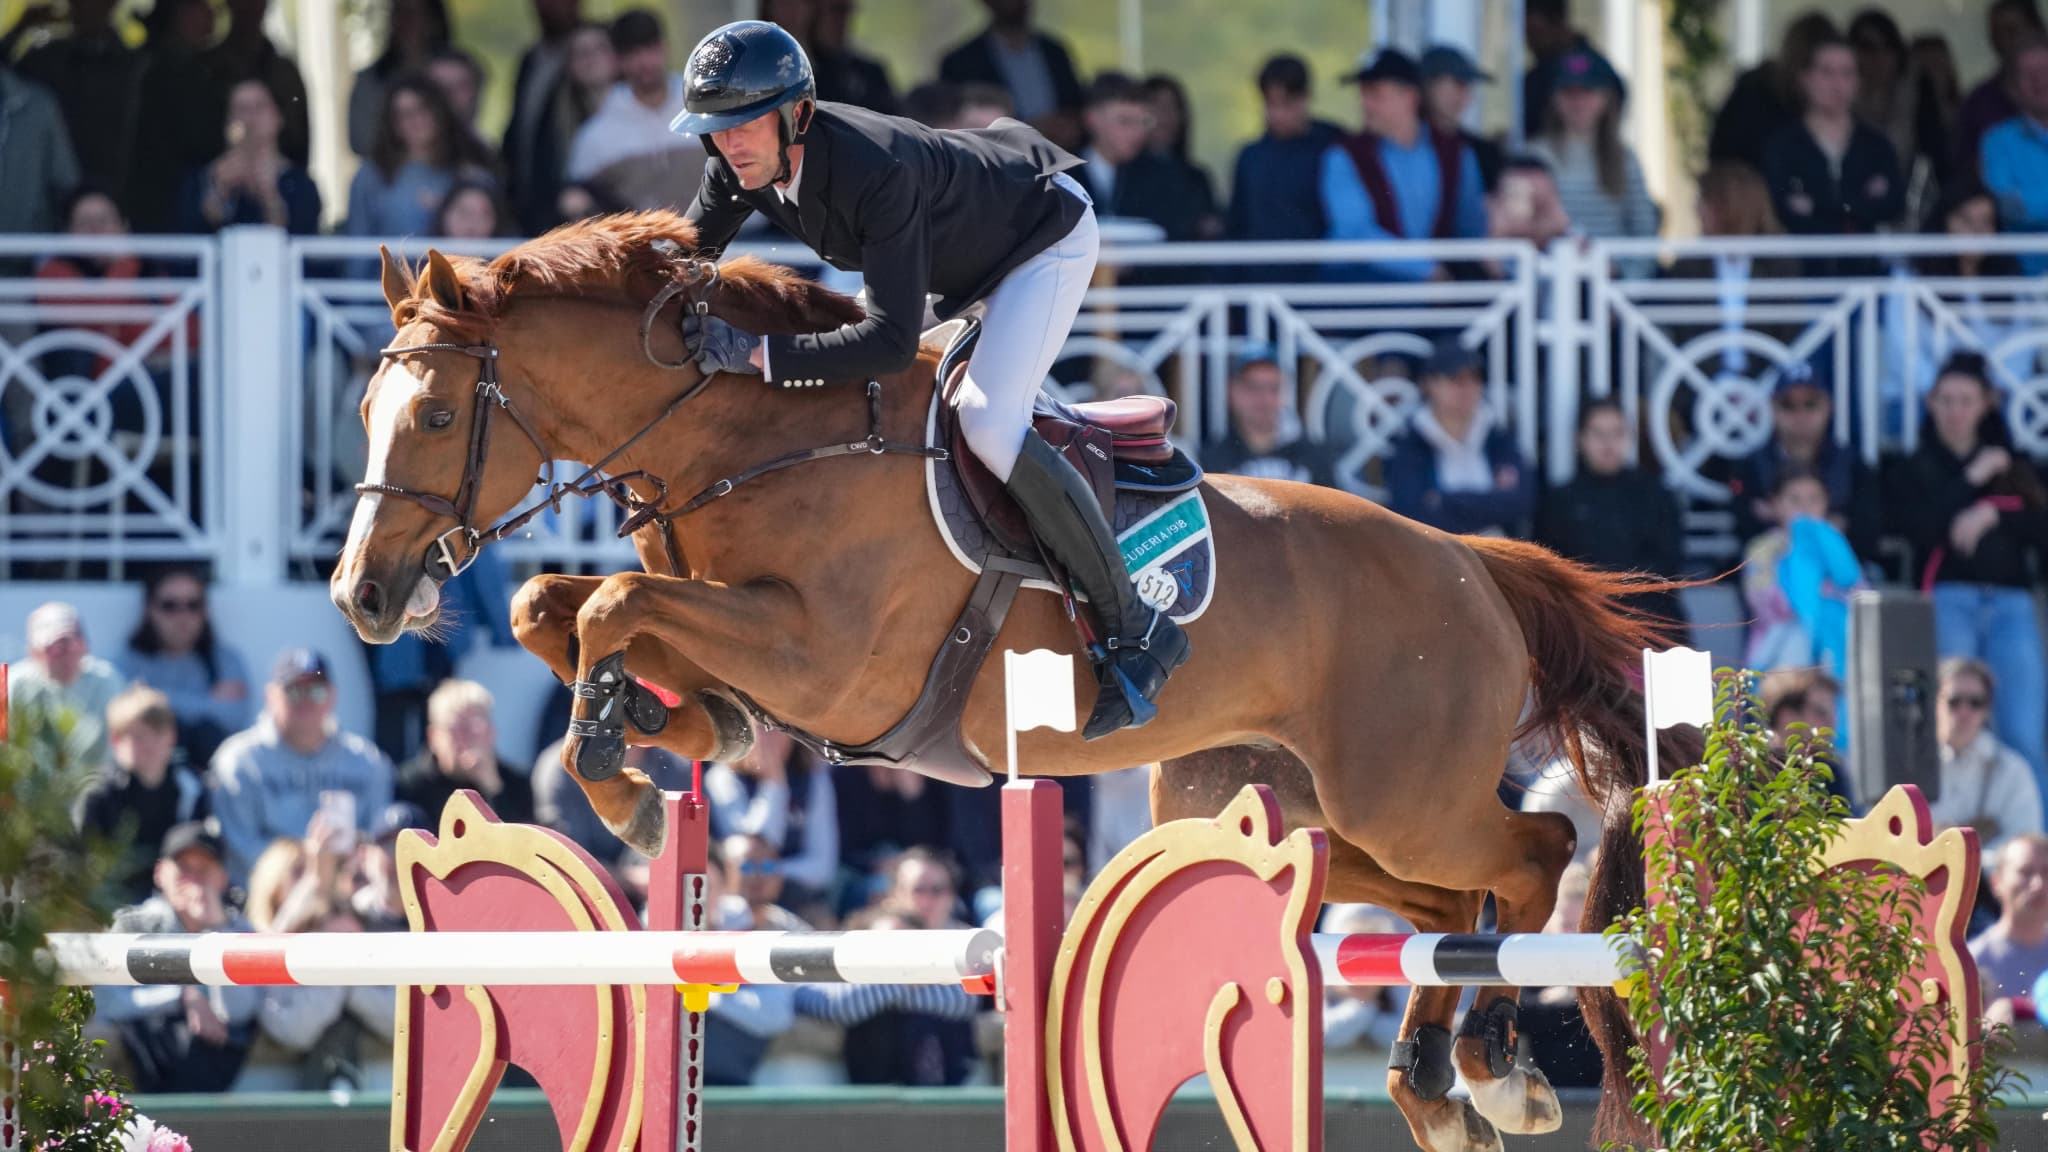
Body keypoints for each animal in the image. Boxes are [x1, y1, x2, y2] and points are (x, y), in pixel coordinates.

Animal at [332, 210, 1678, 1152]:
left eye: (440, 416)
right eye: (364, 408)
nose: (362, 596)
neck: (752, 441)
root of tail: (1469, 559)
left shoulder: (824, 663)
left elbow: (610, 604)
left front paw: (624, 780)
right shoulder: (746, 639)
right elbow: (558, 609)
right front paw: (667, 732)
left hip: (1399, 793)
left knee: (1533, 854)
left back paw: (1496, 1069)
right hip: (1258, 804)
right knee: (1444, 905)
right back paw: (1430, 1084)